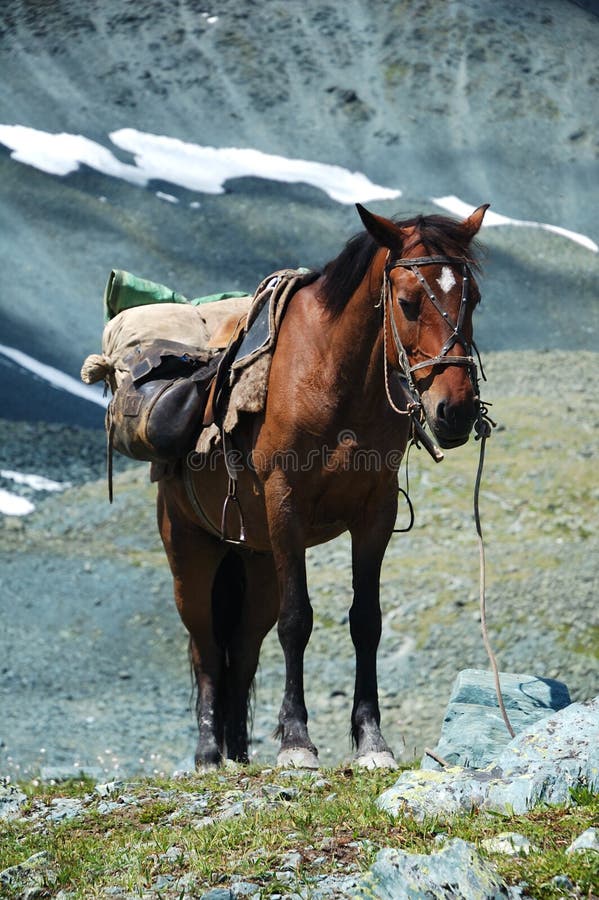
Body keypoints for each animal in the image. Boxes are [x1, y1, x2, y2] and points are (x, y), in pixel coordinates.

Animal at [156, 202, 489, 770]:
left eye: (475, 299)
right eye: (407, 302)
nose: (457, 410)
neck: (336, 377)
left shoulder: (375, 513)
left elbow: (366, 621)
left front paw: (372, 741)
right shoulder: (285, 504)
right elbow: (298, 620)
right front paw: (296, 742)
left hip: (256, 563)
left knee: (243, 649)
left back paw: (240, 755)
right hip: (191, 554)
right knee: (206, 648)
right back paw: (208, 755)